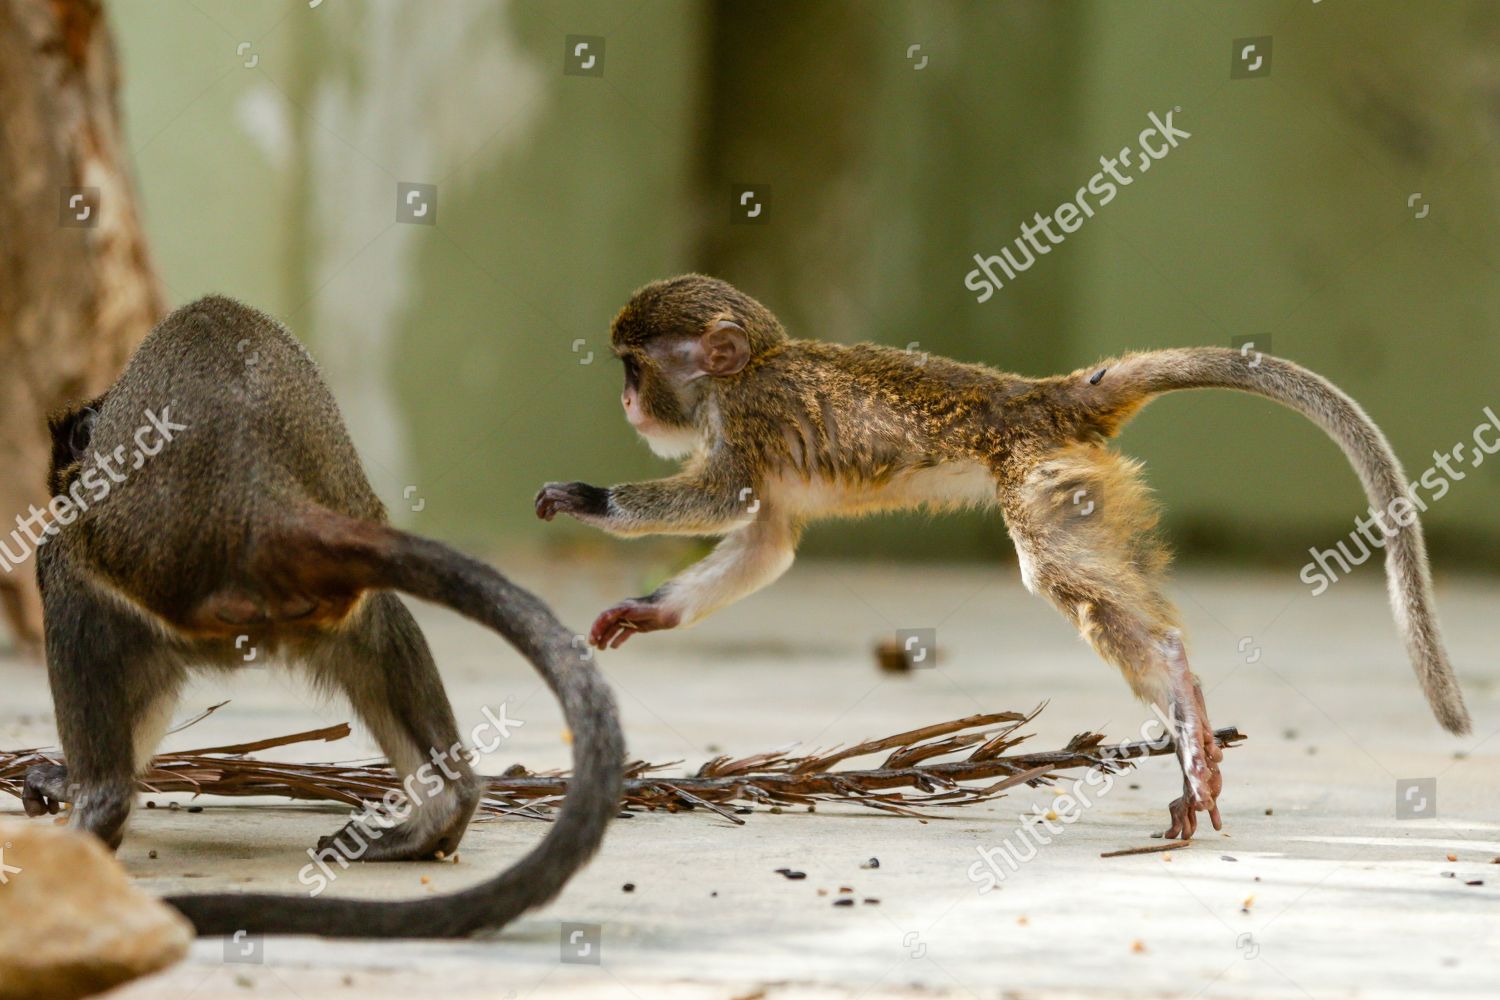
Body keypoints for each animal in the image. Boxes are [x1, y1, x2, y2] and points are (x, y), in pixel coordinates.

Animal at [536, 273, 1471, 841]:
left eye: (635, 367)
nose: (626, 403)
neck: (748, 368)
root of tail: (1030, 397)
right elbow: (765, 543)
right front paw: (645, 610)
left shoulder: (748, 414)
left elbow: (723, 500)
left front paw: (589, 501)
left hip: (1042, 474)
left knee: (1066, 577)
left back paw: (1180, 695)